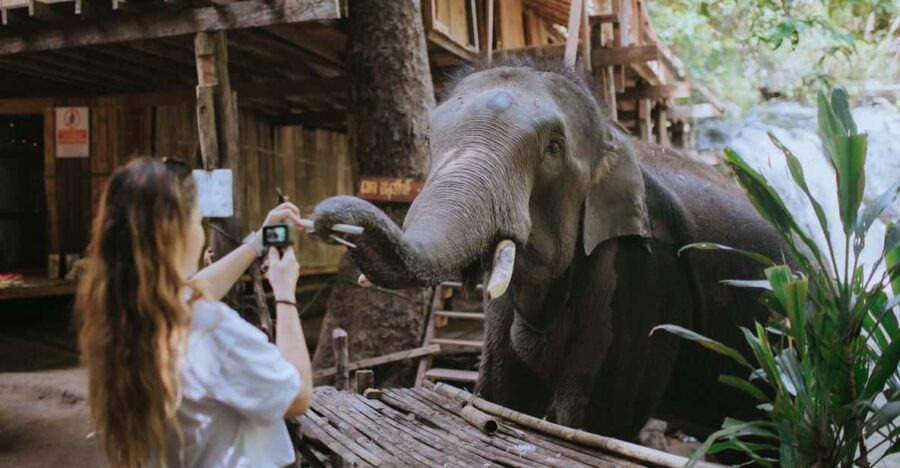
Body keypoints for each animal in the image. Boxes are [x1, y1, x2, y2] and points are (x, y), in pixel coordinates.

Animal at [310, 60, 787, 442]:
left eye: (554, 148)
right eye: (428, 140)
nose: (326, 217)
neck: (613, 137)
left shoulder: (645, 278)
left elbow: (594, 421)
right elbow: (502, 395)